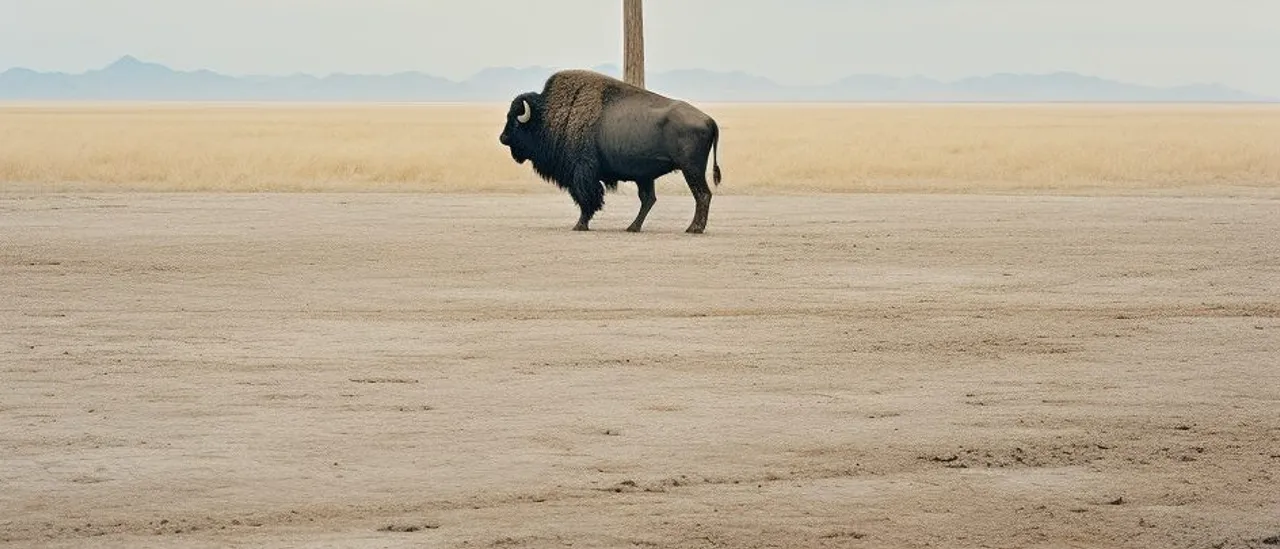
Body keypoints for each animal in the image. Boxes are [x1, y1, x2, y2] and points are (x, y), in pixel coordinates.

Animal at [498, 69, 722, 233]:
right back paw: (632, 227)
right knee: (649, 199)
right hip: (648, 176)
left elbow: (586, 199)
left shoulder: (582, 173)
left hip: (691, 169)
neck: (549, 115)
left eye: (515, 122)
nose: (503, 138)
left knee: (702, 195)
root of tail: (709, 119)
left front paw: (579, 225)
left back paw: (693, 228)